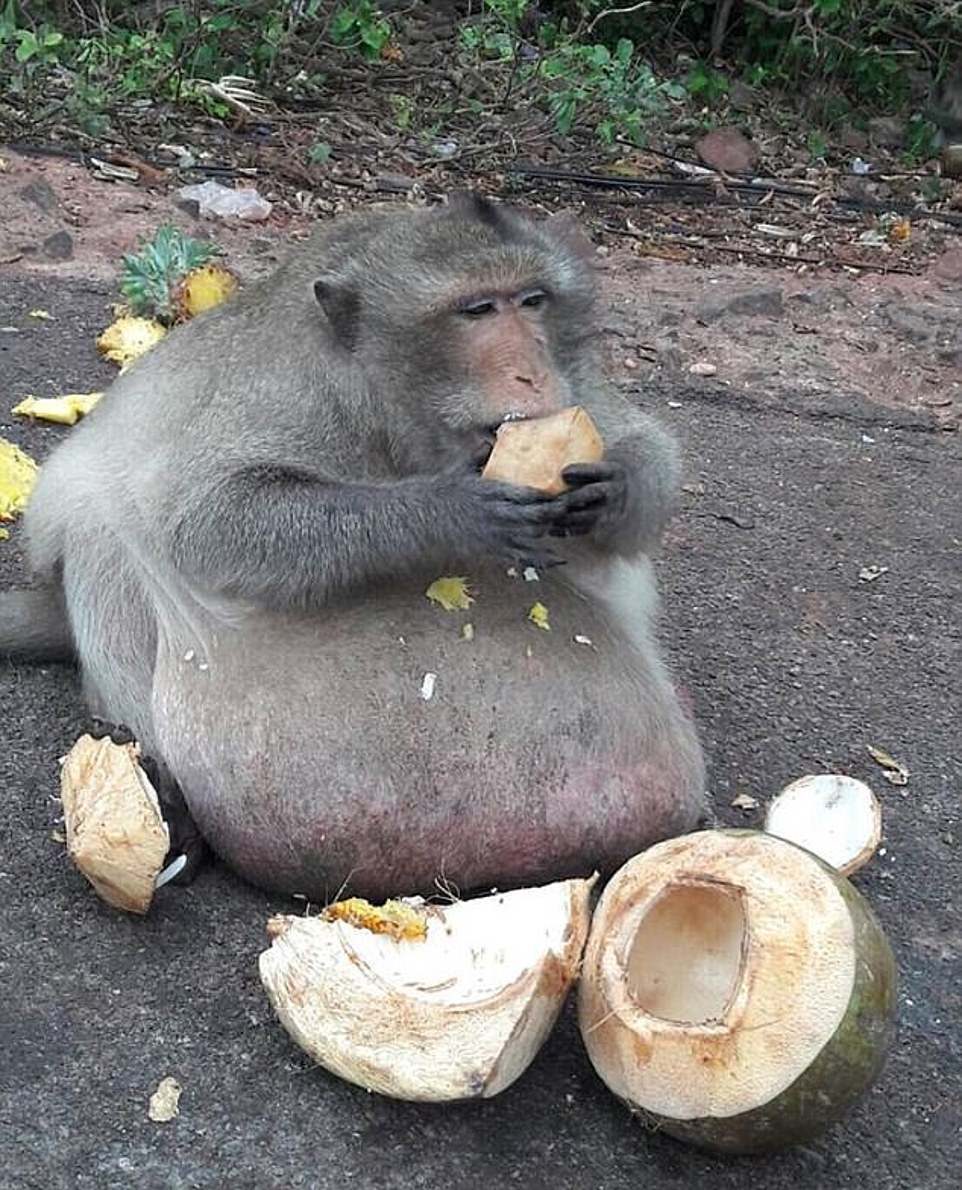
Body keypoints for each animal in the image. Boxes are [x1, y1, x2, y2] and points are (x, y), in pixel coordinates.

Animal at [1, 194, 705, 900]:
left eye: (532, 301)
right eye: (477, 310)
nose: (532, 371)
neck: (389, 412)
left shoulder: (576, 379)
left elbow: (646, 451)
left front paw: (616, 488)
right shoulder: (288, 385)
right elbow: (208, 517)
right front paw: (446, 512)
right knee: (102, 533)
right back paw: (169, 807)